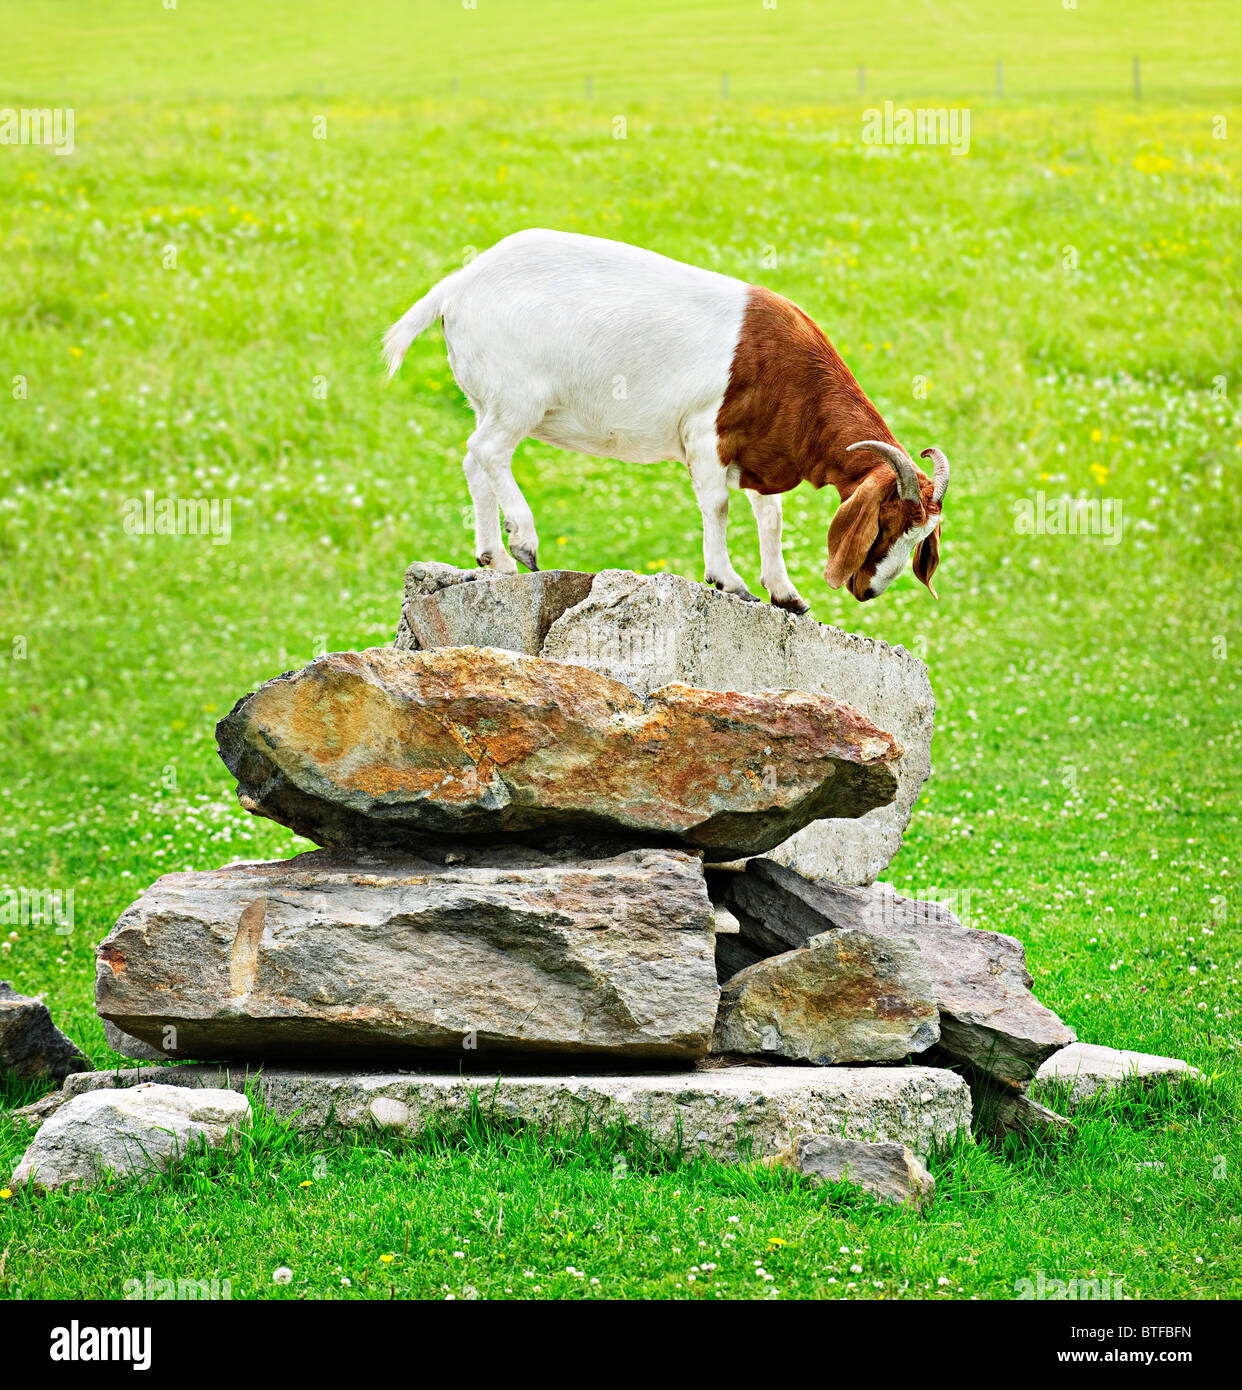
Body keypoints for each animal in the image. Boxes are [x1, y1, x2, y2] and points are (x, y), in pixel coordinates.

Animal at [383, 229, 949, 609]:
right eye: (887, 522)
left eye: (922, 539)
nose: (869, 590)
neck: (786, 367)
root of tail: (456, 286)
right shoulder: (706, 434)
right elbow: (718, 505)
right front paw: (729, 580)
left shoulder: (762, 454)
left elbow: (771, 518)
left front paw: (786, 595)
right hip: (517, 398)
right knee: (488, 451)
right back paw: (522, 542)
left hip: (488, 401)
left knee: (475, 460)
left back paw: (494, 559)